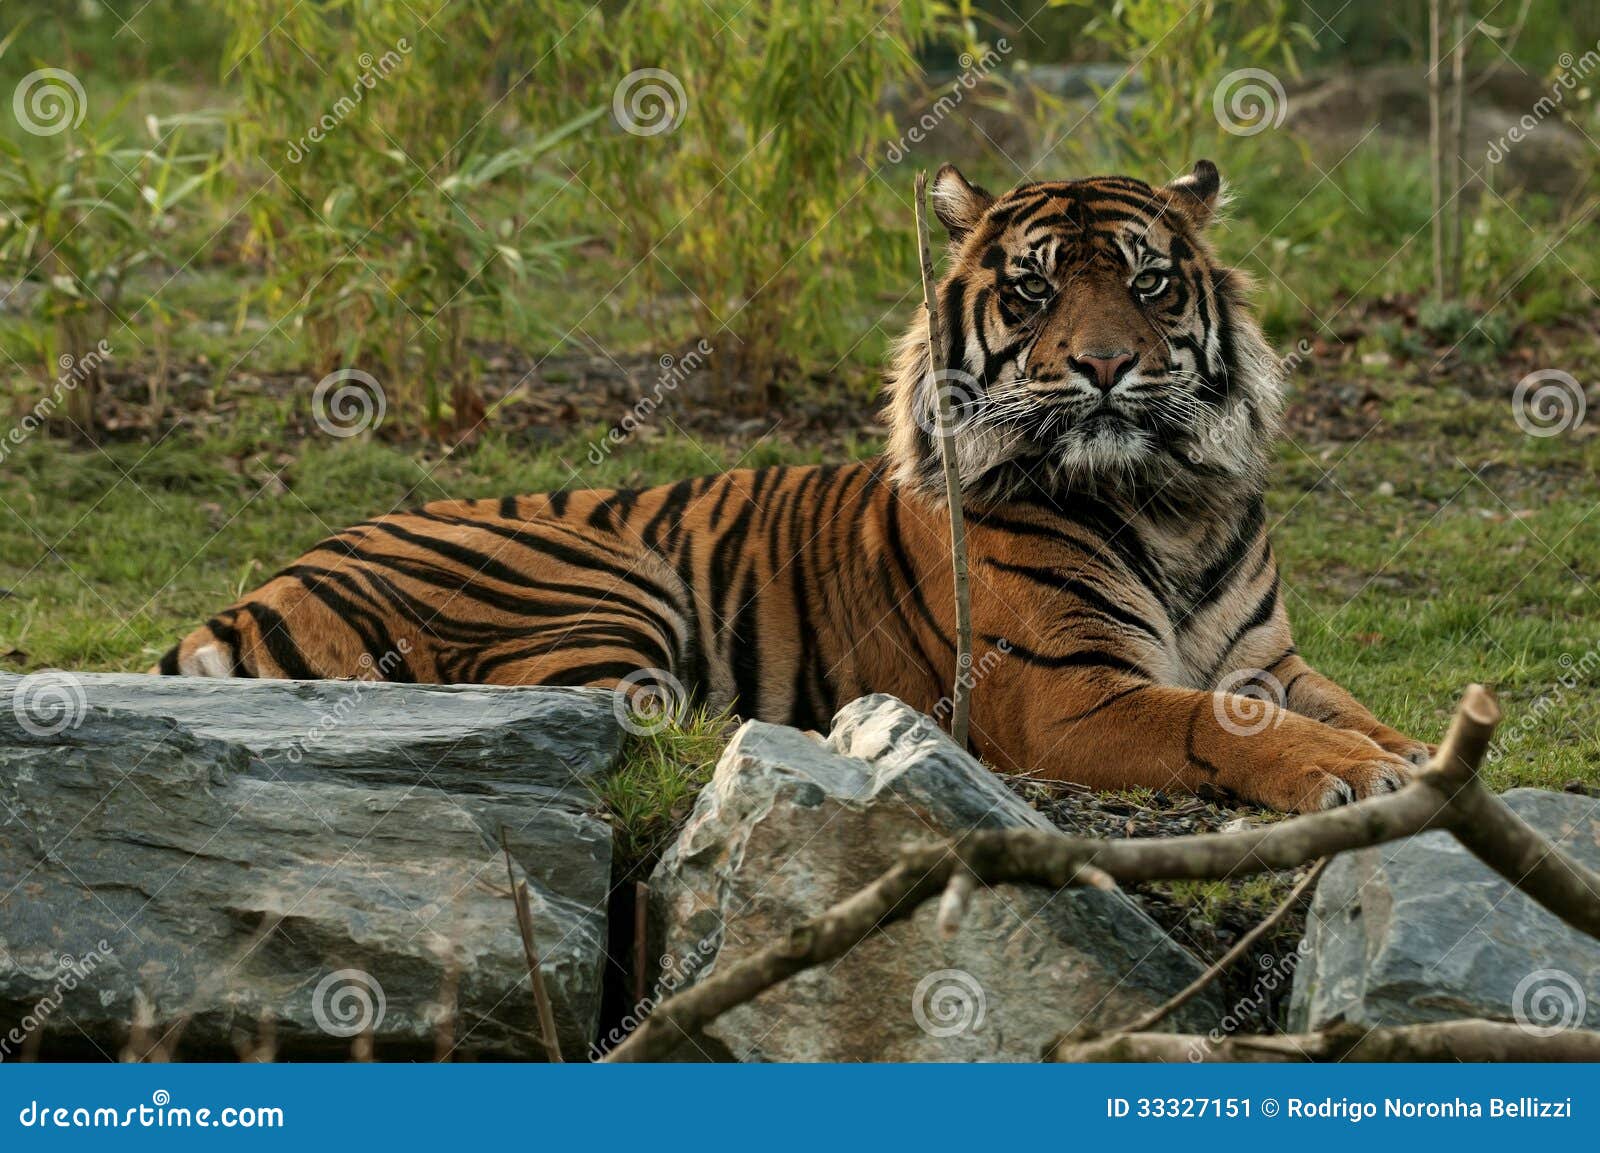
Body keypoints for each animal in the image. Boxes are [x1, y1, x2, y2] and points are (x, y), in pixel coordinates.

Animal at [158, 160, 1430, 812]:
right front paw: (1350, 773)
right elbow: (1209, 720)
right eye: (1033, 292)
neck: (1167, 502)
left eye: (1149, 281)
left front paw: (1412, 754)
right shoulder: (1064, 690)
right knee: (623, 714)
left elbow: (1336, 707)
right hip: (599, 589)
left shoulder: (1273, 661)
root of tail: (260, 585)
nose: (1107, 365)